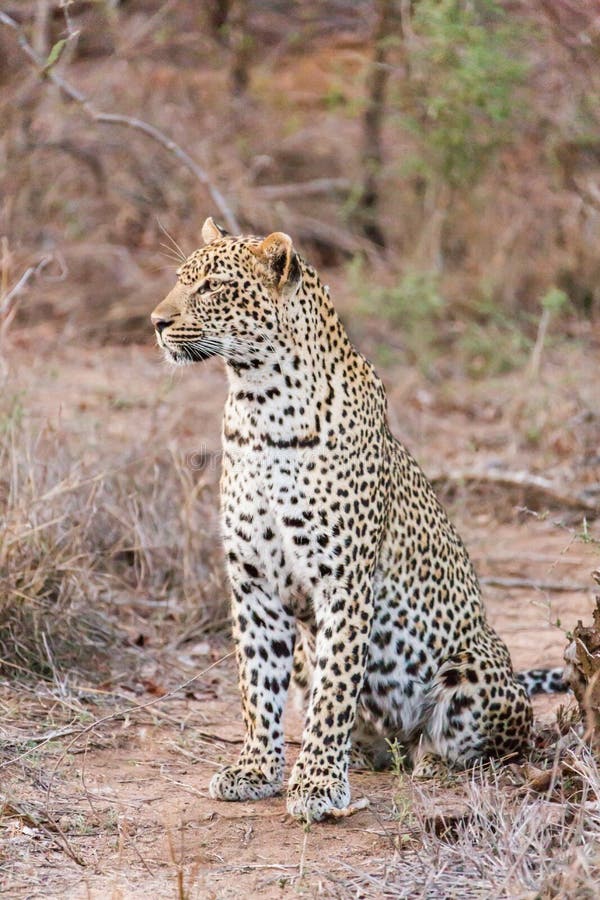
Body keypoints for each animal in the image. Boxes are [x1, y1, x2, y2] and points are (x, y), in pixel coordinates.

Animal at [151, 217, 567, 822]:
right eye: (181, 280)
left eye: (212, 287)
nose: (156, 322)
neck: (257, 403)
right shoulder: (252, 584)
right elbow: (256, 684)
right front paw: (256, 769)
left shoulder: (342, 584)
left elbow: (334, 692)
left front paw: (317, 785)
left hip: (471, 665)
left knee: (493, 741)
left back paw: (431, 759)